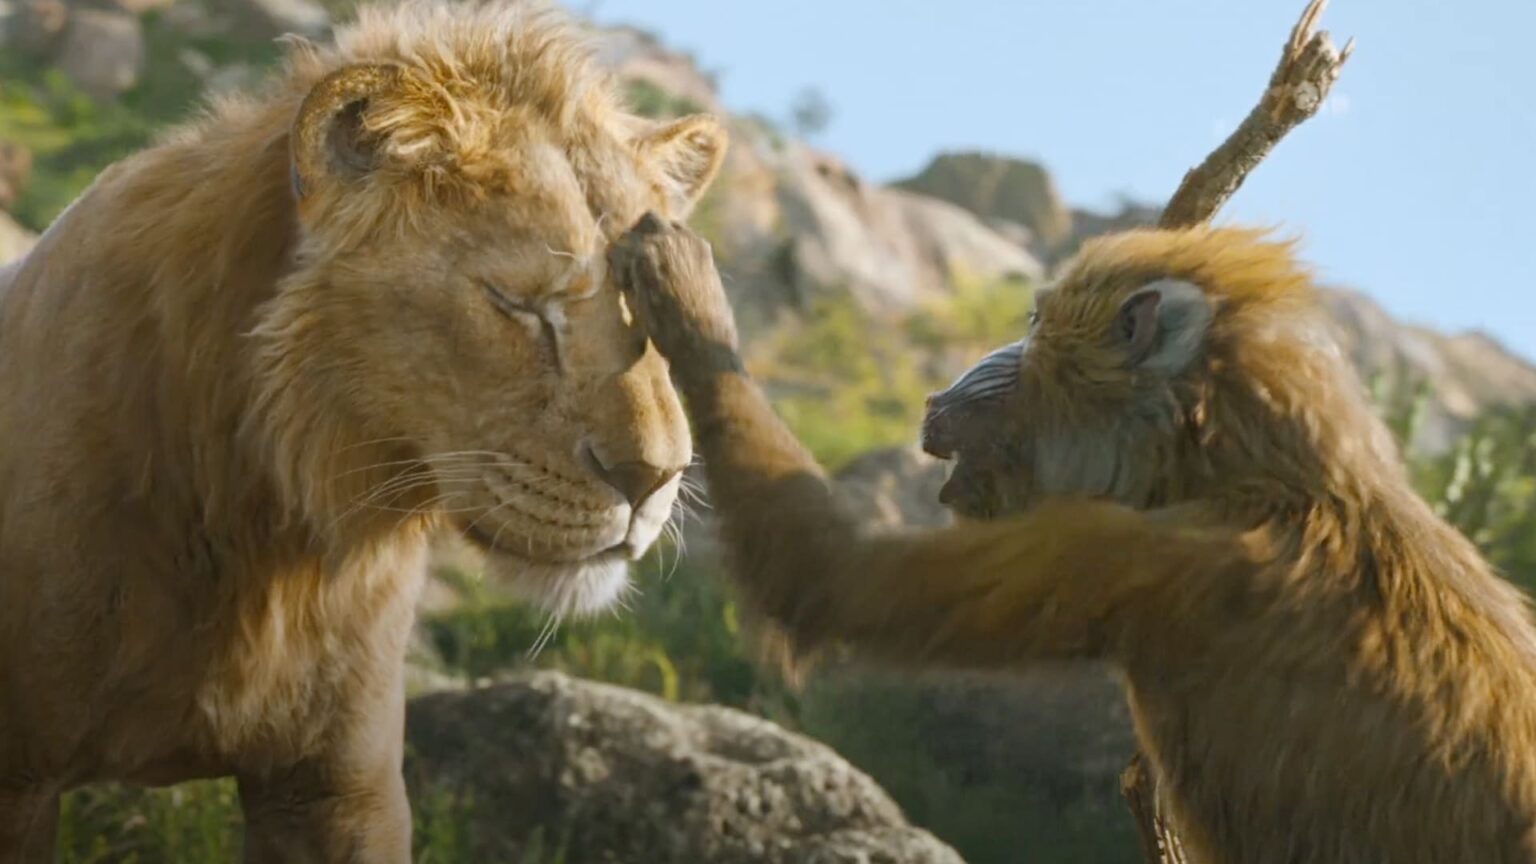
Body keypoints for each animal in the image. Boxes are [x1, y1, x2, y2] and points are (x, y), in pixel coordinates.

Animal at [0, 2, 726, 860]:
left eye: (653, 303)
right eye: (515, 303)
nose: (655, 480)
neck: (263, 531)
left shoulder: (339, 787)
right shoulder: (18, 778)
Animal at [609, 214, 1536, 863]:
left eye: (1033, 320)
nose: (947, 389)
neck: (1269, 474)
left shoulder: (1146, 554)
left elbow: (827, 578)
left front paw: (689, 305)